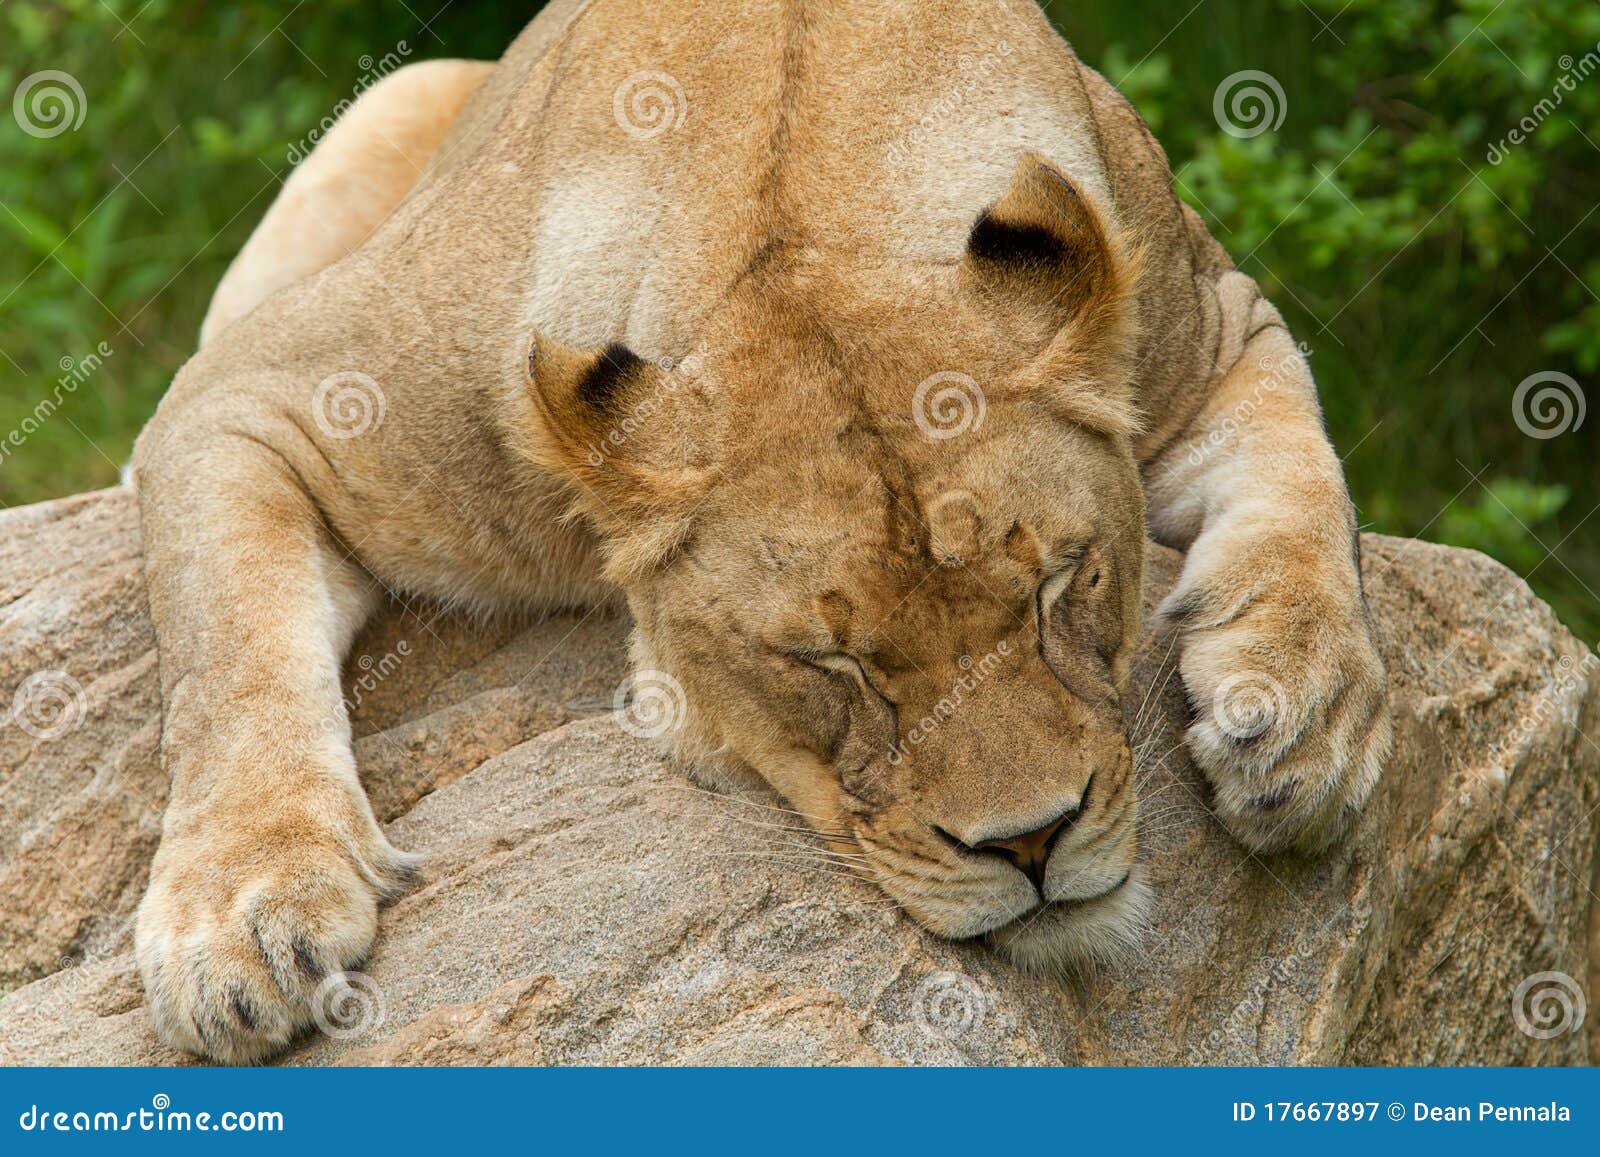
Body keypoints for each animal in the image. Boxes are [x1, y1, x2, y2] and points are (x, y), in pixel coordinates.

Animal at [130, 0, 1391, 1062]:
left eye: (1061, 583)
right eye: (827, 662)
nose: (1031, 841)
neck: (802, 215)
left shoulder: (1216, 324)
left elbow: (1307, 480)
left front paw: (1303, 719)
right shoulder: (251, 395)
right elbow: (229, 653)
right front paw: (248, 913)